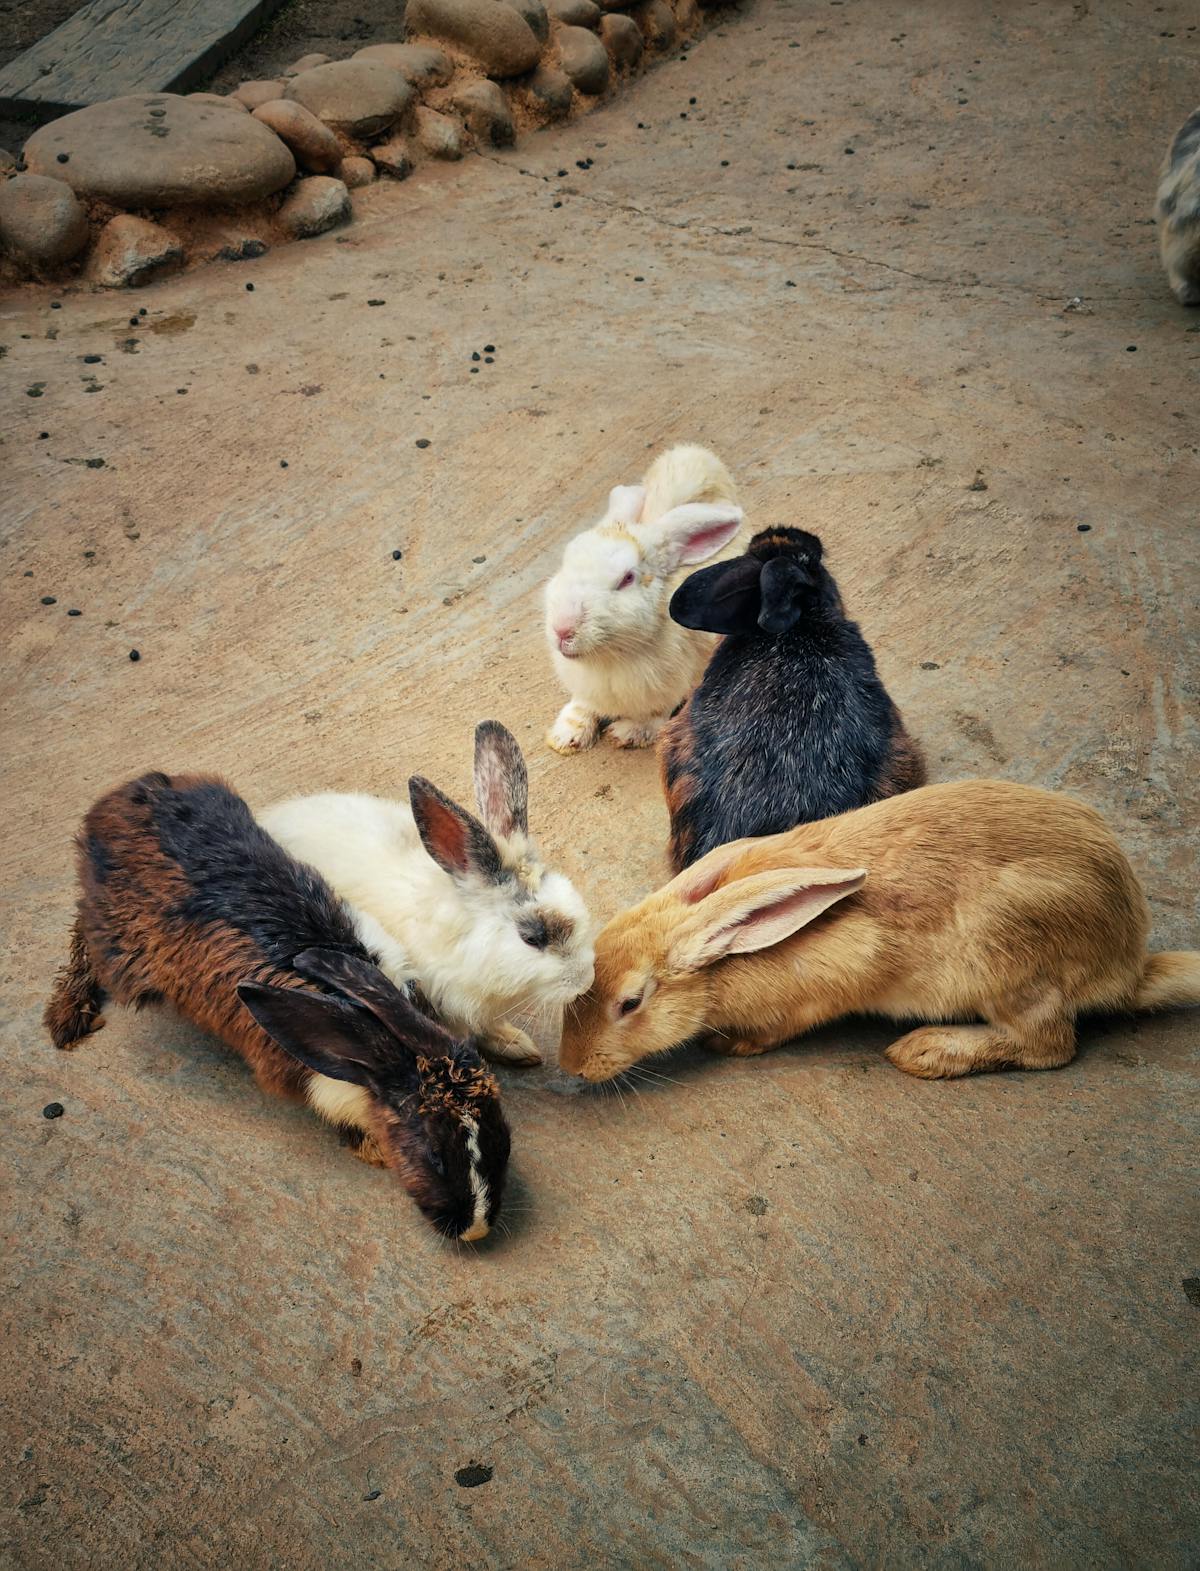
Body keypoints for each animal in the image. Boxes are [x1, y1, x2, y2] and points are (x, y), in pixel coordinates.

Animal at [43, 771, 511, 1242]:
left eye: (501, 1133)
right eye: (434, 1155)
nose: (475, 1231)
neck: (377, 1048)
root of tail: (128, 792)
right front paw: (372, 1150)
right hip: (117, 947)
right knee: (82, 932)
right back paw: (65, 1017)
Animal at [543, 444, 745, 753]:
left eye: (627, 579)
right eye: (567, 559)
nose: (562, 629)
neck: (610, 656)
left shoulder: (676, 678)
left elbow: (659, 712)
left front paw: (627, 733)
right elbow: (582, 705)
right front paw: (567, 735)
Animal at [558, 779, 1200, 1084]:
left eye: (631, 1003)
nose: (571, 1066)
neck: (725, 960)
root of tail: (1128, 964)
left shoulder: (826, 987)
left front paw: (732, 1045)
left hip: (1011, 966)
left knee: (1050, 1045)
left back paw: (925, 1051)